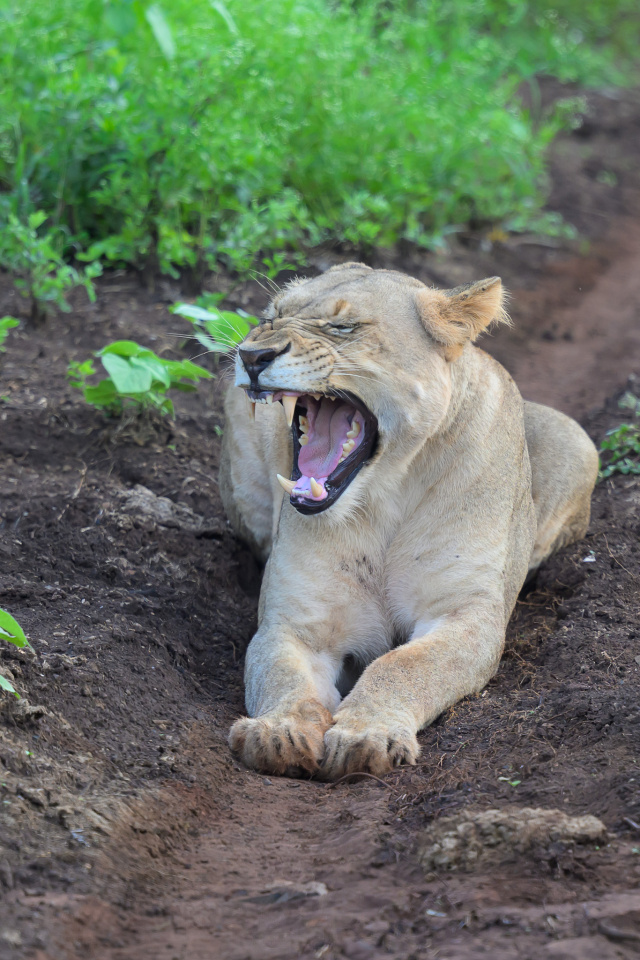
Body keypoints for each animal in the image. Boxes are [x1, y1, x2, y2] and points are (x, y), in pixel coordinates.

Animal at [220, 263, 598, 779]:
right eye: (269, 317)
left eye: (343, 327)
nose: (252, 354)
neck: (384, 500)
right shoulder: (295, 624)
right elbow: (283, 676)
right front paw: (279, 732)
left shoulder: (466, 614)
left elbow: (404, 666)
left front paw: (366, 734)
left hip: (576, 440)